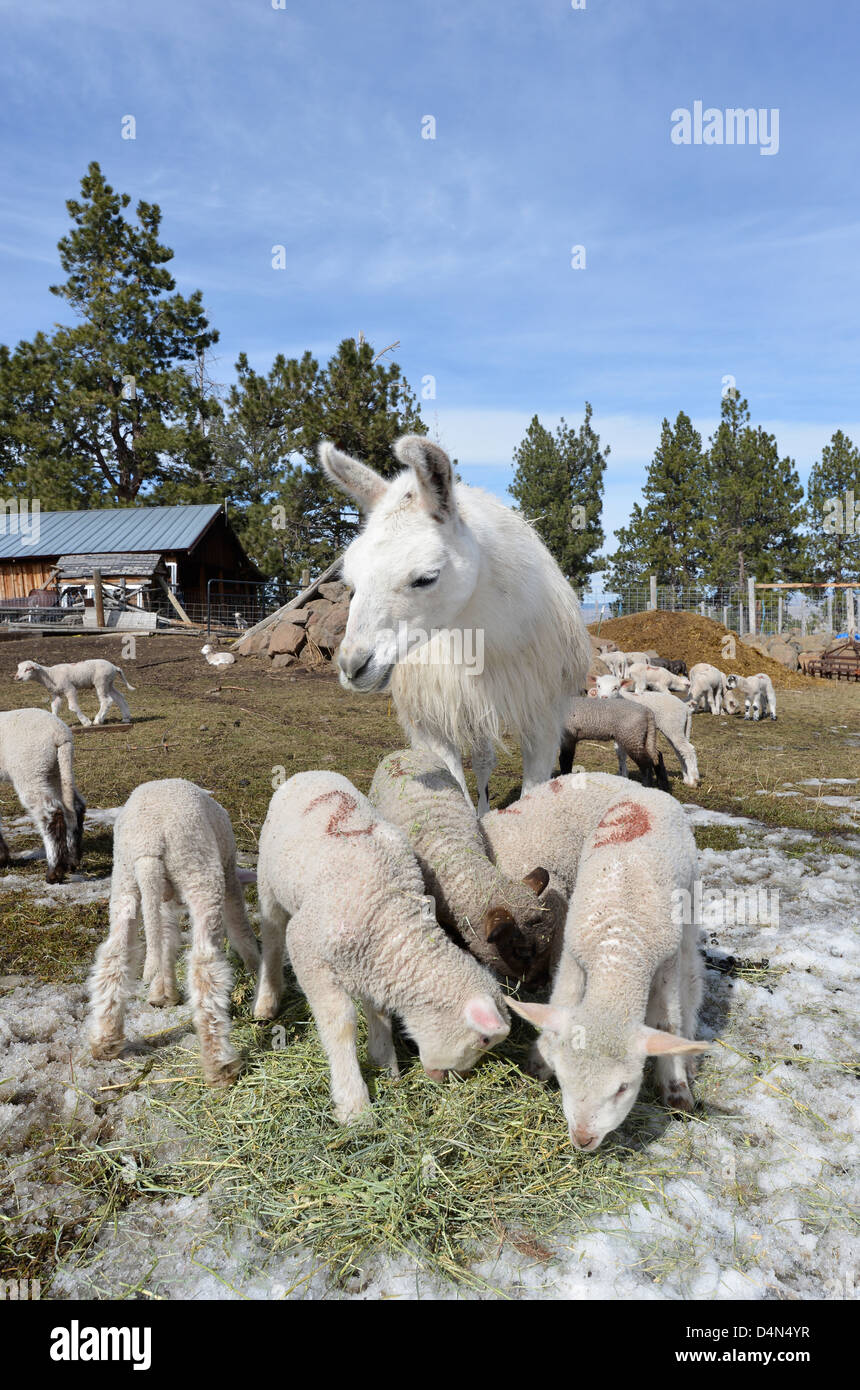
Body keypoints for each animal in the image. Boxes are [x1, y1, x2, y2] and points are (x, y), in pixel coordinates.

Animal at [0, 708, 85, 883]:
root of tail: (60, 734)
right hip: (55, 770)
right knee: (75, 806)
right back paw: (73, 859)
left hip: (31, 770)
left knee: (50, 813)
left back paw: (54, 872)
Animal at [88, 779, 260, 1085]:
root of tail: (149, 841)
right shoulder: (229, 873)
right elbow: (240, 928)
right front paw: (257, 969)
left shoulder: (163, 900)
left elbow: (165, 939)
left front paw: (162, 993)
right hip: (199, 870)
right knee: (204, 967)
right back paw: (221, 1067)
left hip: (125, 879)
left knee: (114, 955)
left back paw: (106, 1041)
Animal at [253, 771, 510, 1123]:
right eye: (484, 1039)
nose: (451, 1079)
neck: (389, 913)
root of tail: (309, 773)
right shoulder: (307, 948)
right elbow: (341, 1024)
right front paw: (354, 1103)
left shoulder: (374, 963)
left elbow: (380, 1012)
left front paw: (385, 1063)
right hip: (268, 881)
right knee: (273, 937)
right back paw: (267, 1000)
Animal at [483, 774, 709, 1150]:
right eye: (562, 1078)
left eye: (623, 1088)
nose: (583, 1139)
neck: (618, 948)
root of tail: (647, 790)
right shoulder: (573, 956)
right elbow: (561, 1003)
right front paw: (538, 1061)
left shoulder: (665, 963)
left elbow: (668, 1024)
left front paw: (676, 1087)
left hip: (689, 910)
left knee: (692, 982)